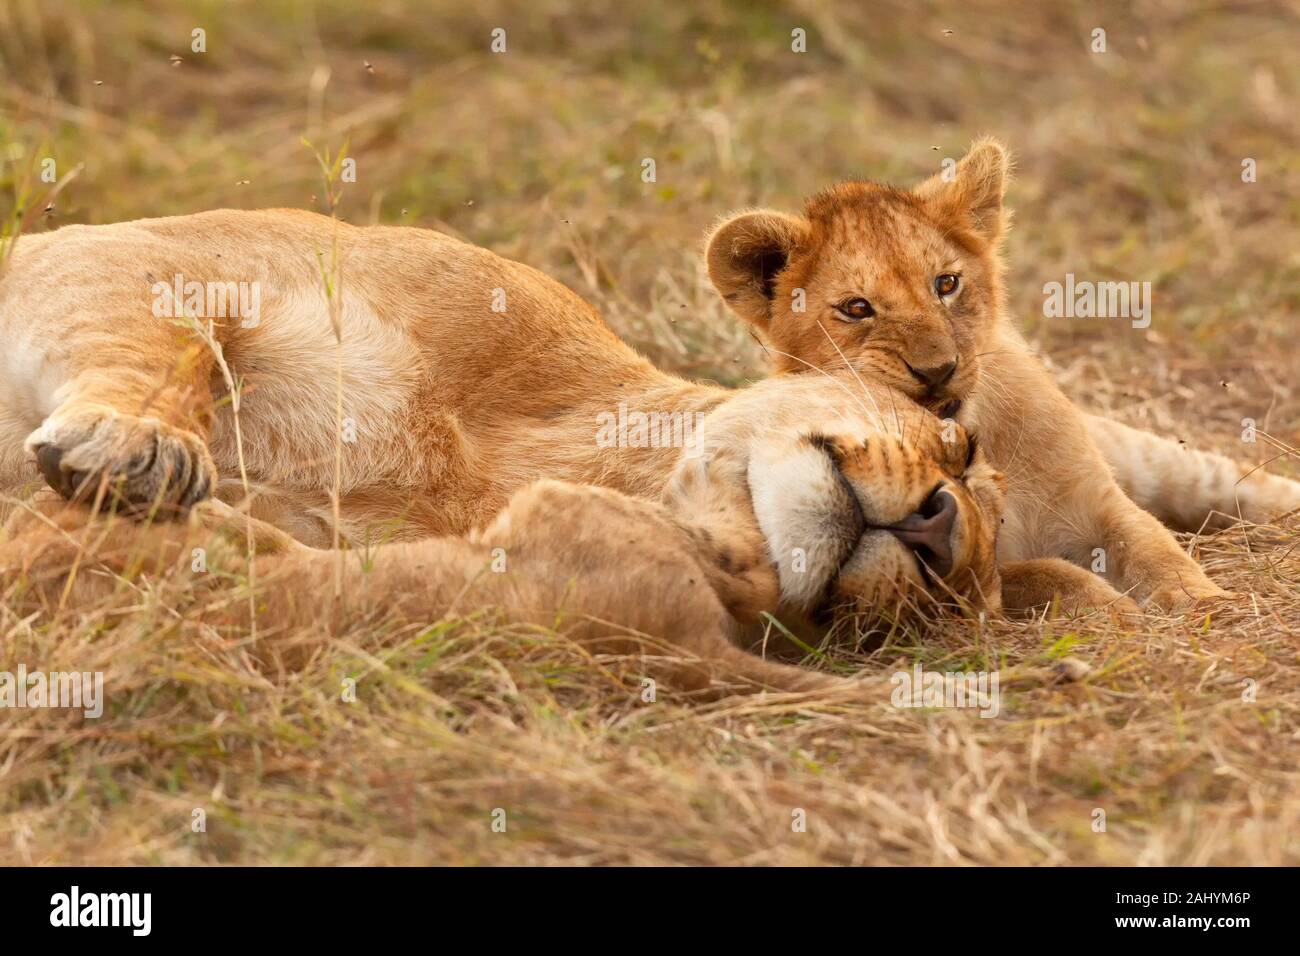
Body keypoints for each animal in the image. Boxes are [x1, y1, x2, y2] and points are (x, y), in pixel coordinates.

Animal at [705, 138, 1300, 610]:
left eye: (946, 284)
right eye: (856, 309)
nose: (938, 369)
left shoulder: (1099, 502)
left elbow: (1153, 546)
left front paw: (1203, 606)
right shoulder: (958, 570)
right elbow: (1045, 572)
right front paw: (1114, 610)